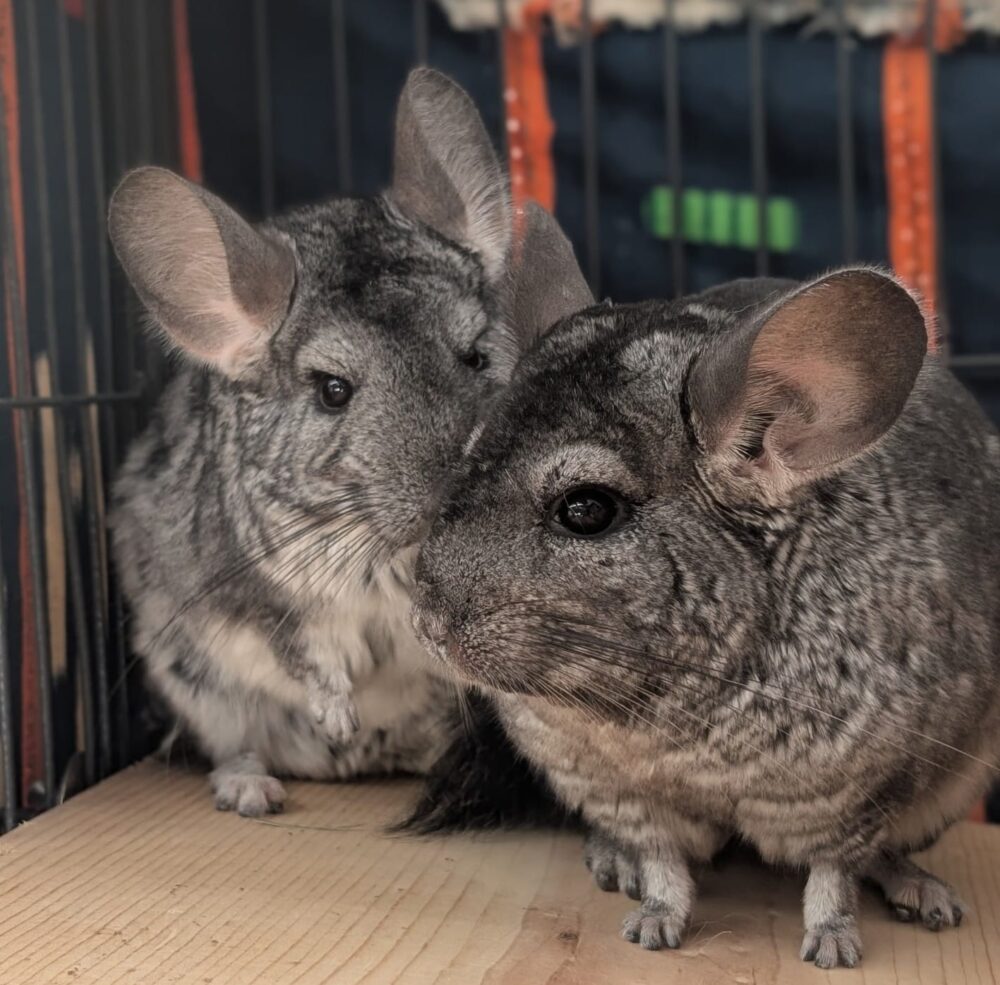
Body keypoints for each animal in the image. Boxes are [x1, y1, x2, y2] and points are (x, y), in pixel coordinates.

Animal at [109, 68, 533, 819]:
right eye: (333, 390)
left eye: (477, 356)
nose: (452, 496)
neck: (384, 555)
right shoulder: (243, 583)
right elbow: (298, 645)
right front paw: (337, 714)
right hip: (203, 688)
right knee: (236, 743)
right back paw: (254, 787)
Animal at [411, 246, 1000, 968]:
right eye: (464, 461)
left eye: (586, 509)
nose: (428, 624)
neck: (660, 720)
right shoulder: (617, 790)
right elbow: (665, 863)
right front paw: (652, 923)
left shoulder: (854, 792)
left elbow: (833, 873)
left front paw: (833, 947)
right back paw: (612, 860)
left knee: (881, 854)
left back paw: (923, 892)